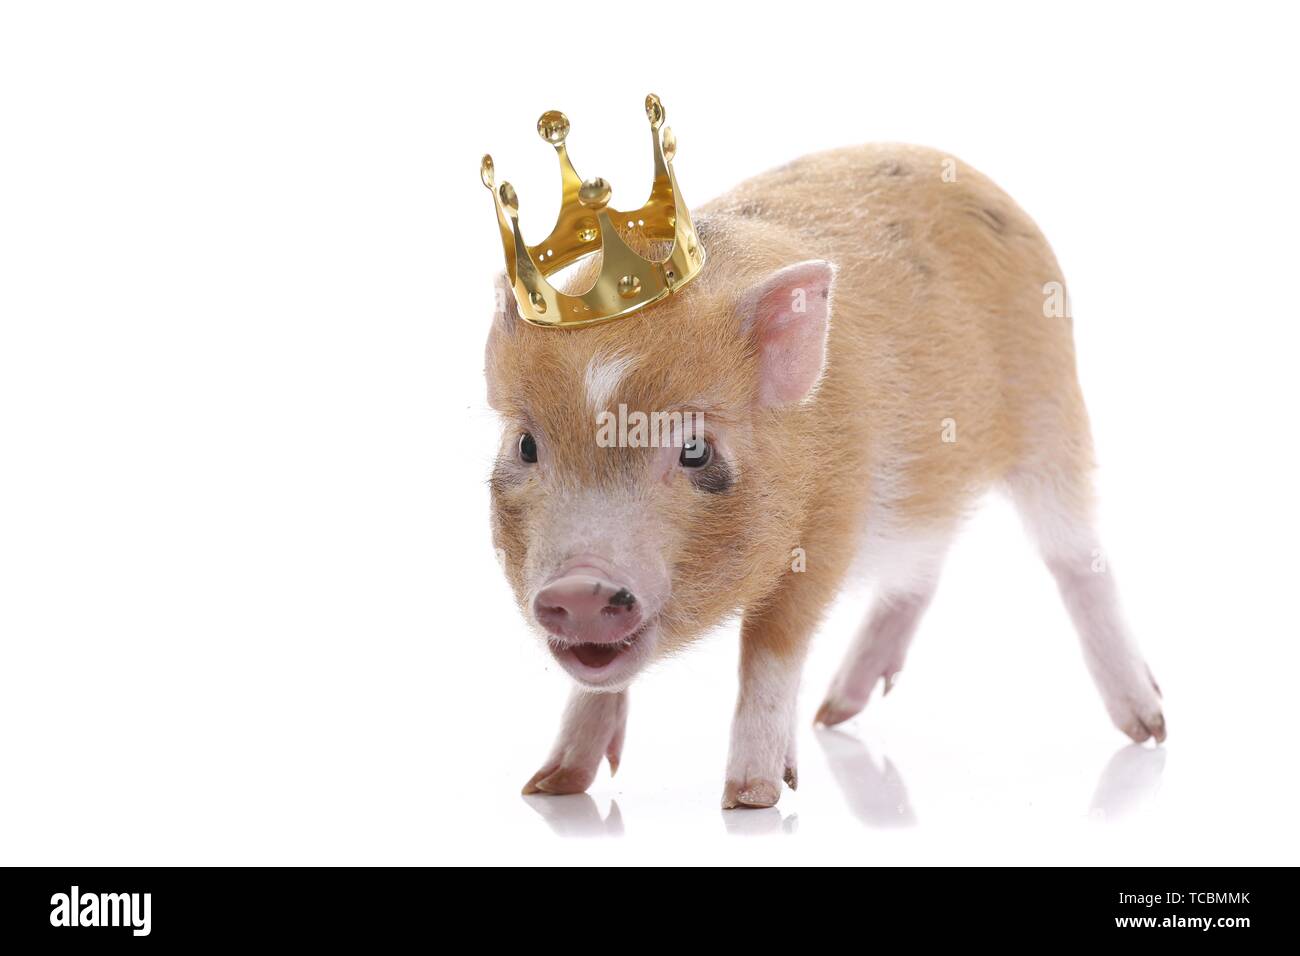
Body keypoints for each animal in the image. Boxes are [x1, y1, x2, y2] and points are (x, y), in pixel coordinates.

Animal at [485, 143, 1164, 809]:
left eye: (696, 451)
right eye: (526, 446)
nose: (580, 585)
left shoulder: (835, 523)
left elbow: (772, 645)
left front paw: (751, 796)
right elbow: (595, 681)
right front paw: (549, 787)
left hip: (1053, 411)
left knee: (1075, 558)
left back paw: (1149, 726)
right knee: (924, 564)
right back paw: (833, 715)